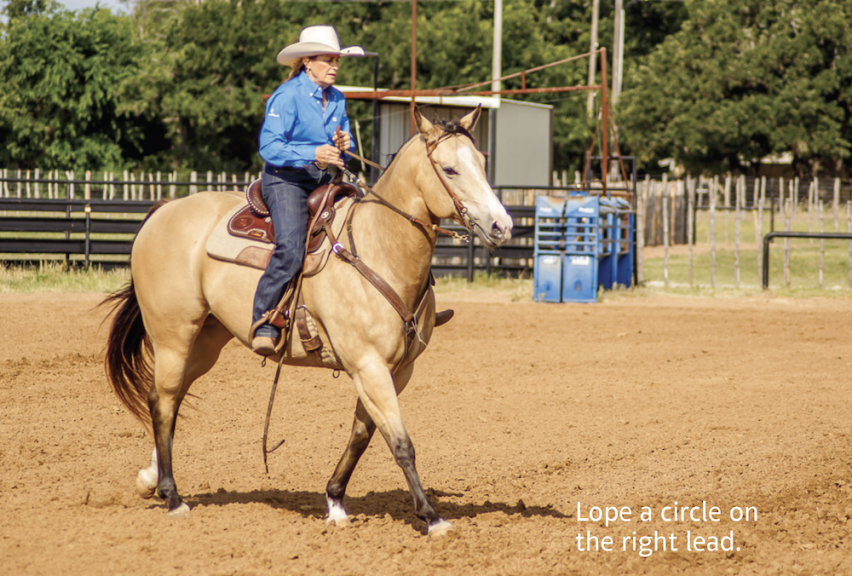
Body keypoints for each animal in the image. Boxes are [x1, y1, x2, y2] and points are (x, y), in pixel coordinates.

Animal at [102, 106, 513, 536]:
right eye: (449, 169)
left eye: (481, 162)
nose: (502, 226)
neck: (379, 247)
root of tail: (162, 210)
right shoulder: (368, 366)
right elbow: (400, 443)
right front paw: (432, 517)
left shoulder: (396, 371)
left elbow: (362, 435)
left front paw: (335, 501)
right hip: (173, 335)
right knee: (163, 399)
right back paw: (173, 496)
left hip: (207, 341)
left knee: (170, 397)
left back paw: (150, 479)